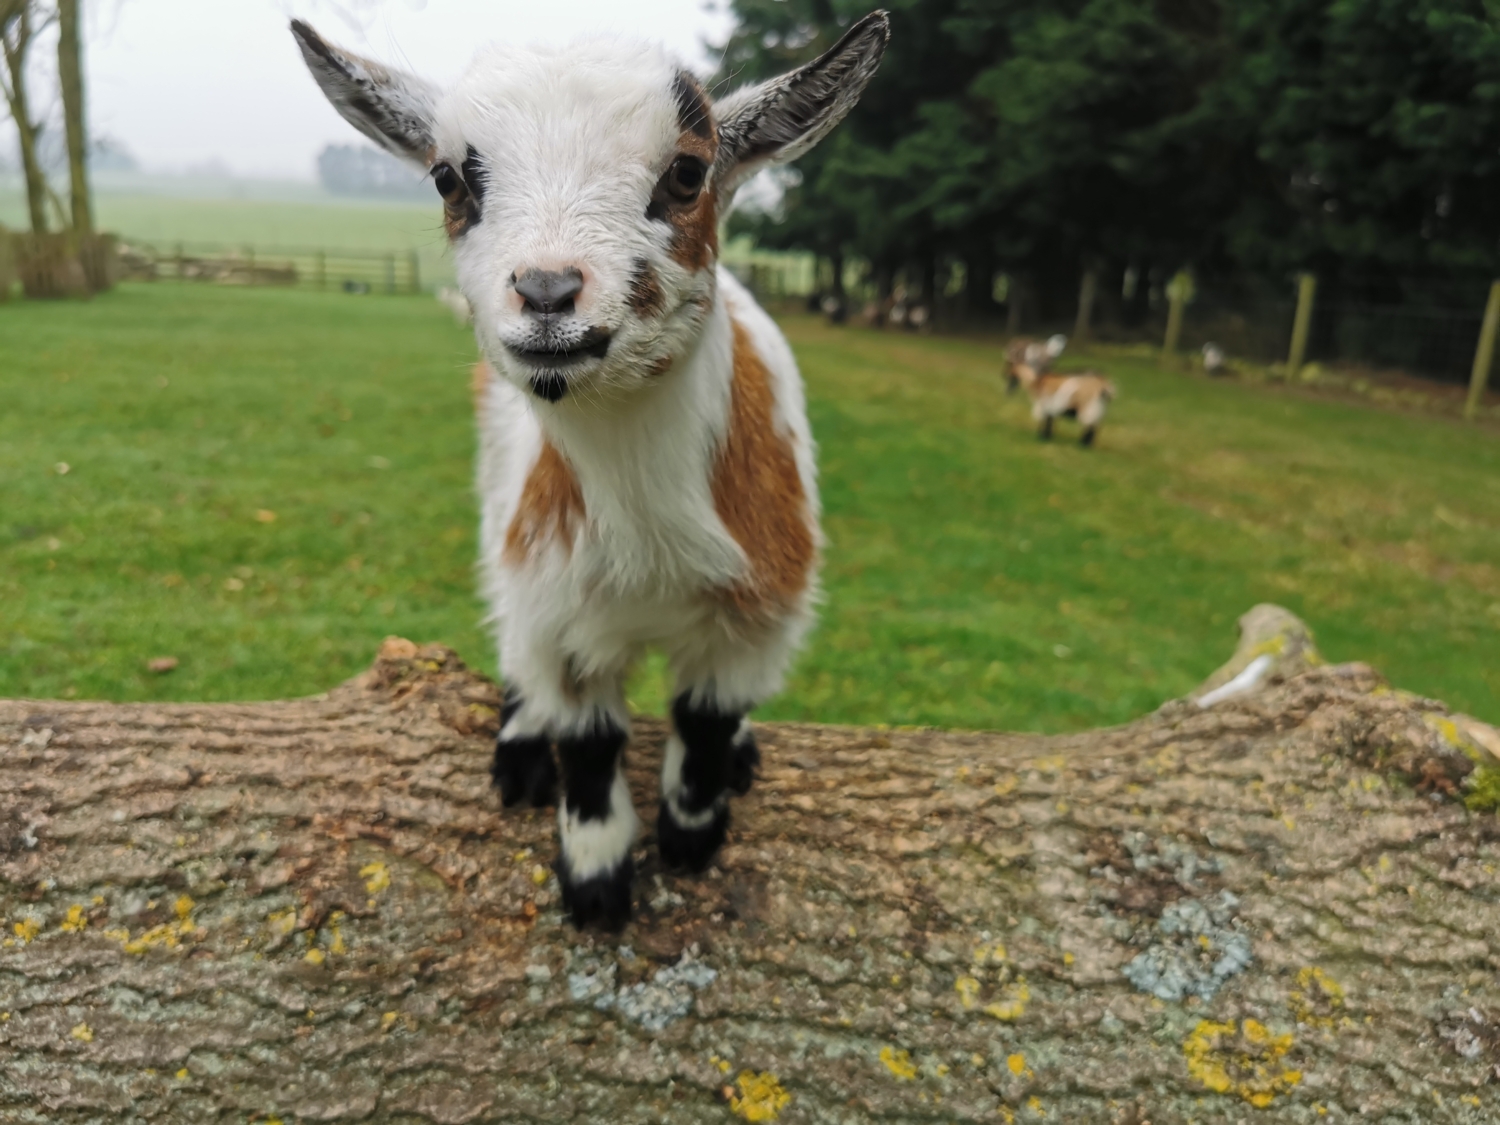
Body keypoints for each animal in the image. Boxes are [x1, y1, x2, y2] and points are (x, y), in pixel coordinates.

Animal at [292, 14, 889, 929]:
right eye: (447, 178)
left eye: (687, 171)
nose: (546, 292)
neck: (651, 546)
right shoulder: (558, 590)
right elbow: (589, 739)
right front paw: (598, 876)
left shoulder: (762, 603)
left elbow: (705, 719)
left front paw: (692, 833)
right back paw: (518, 747)